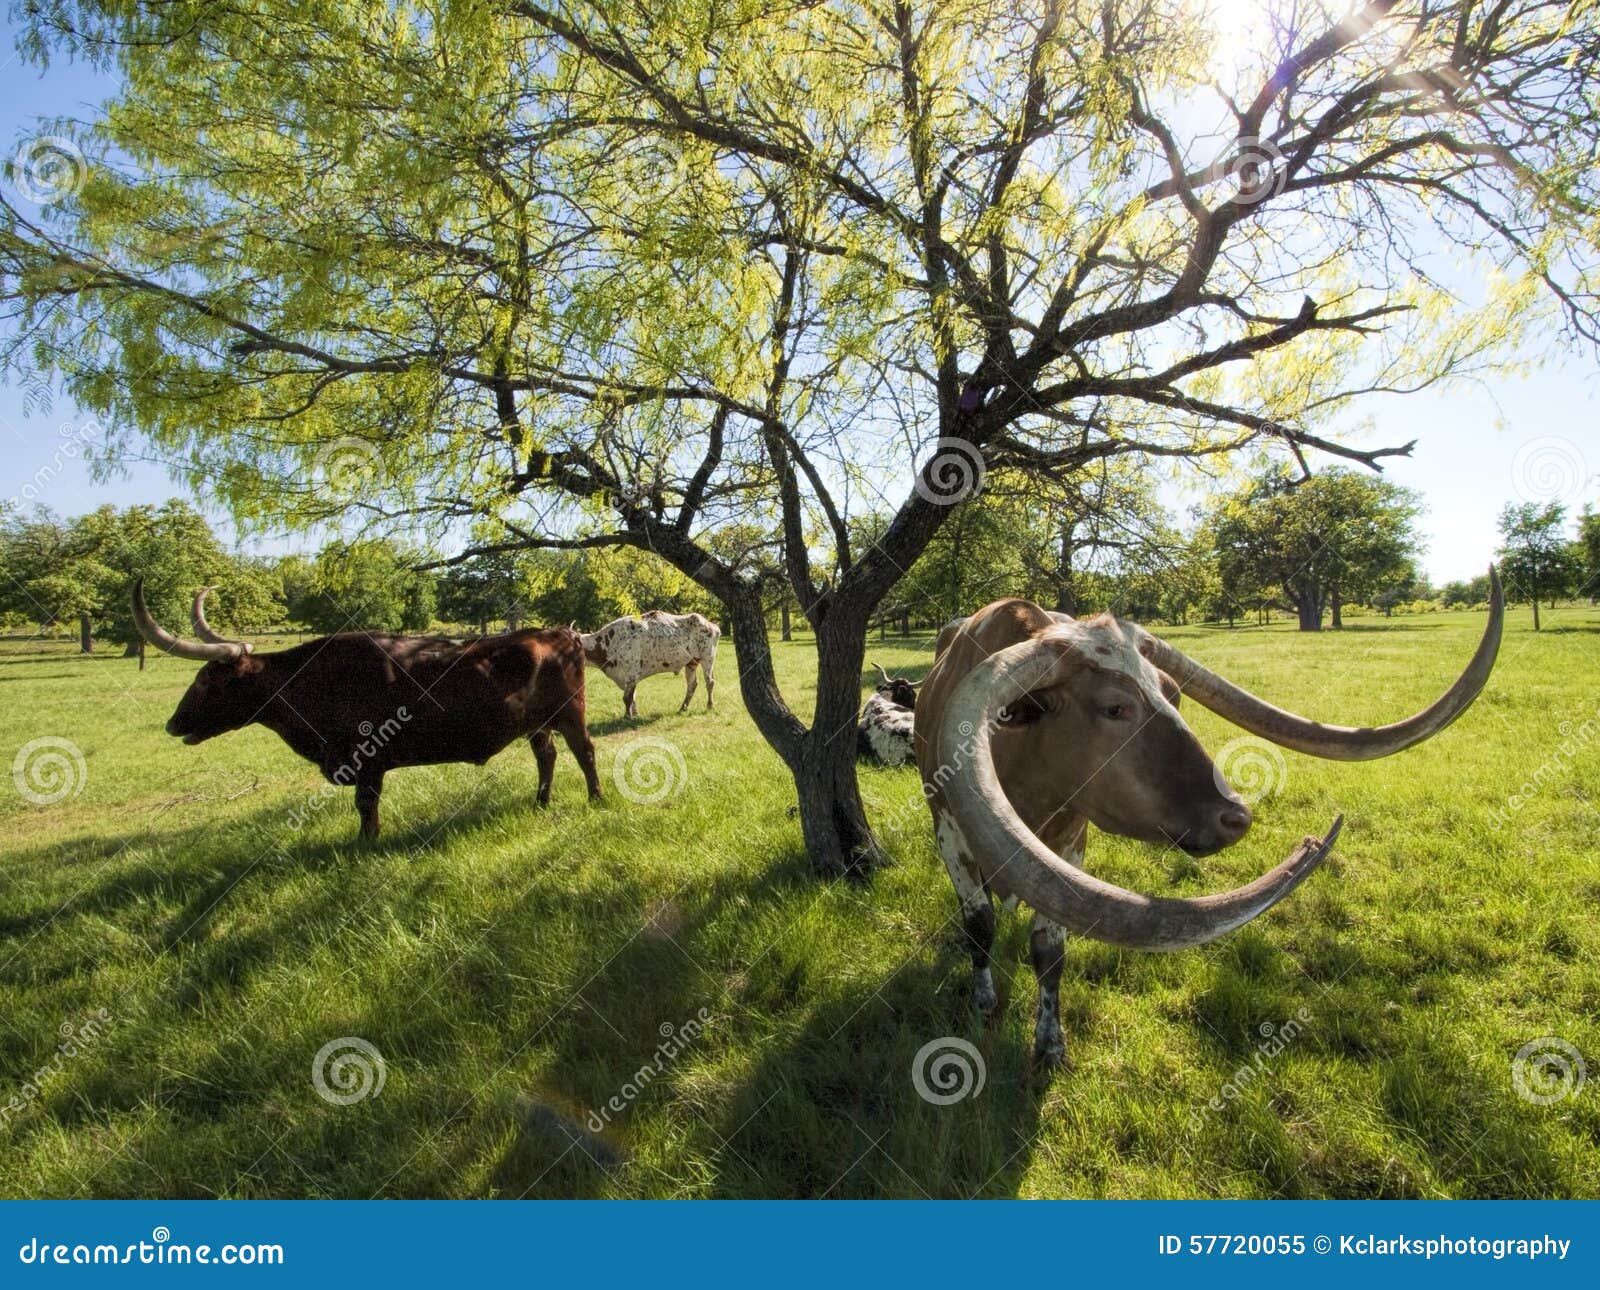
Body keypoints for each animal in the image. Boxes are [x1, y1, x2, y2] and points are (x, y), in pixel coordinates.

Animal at [133, 580, 602, 838]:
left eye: (206, 681)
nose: (172, 724)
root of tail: (561, 633)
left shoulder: (368, 759)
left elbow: (365, 803)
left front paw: (367, 841)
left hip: (570, 714)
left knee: (584, 752)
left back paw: (595, 798)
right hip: (537, 724)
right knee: (546, 755)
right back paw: (541, 801)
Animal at [580, 610, 719, 718]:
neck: (609, 642)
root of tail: (712, 626)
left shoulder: (632, 673)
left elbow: (627, 698)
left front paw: (627, 716)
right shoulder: (630, 678)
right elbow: (632, 697)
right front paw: (635, 714)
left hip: (708, 658)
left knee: (710, 682)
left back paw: (710, 706)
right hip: (691, 662)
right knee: (692, 685)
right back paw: (682, 708)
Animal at [915, 571, 1504, 1068]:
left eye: (1174, 693)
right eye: (1114, 708)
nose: (1235, 817)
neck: (1016, 756)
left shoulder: (1070, 841)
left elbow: (1050, 951)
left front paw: (1051, 1042)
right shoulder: (950, 835)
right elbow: (979, 927)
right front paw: (983, 999)